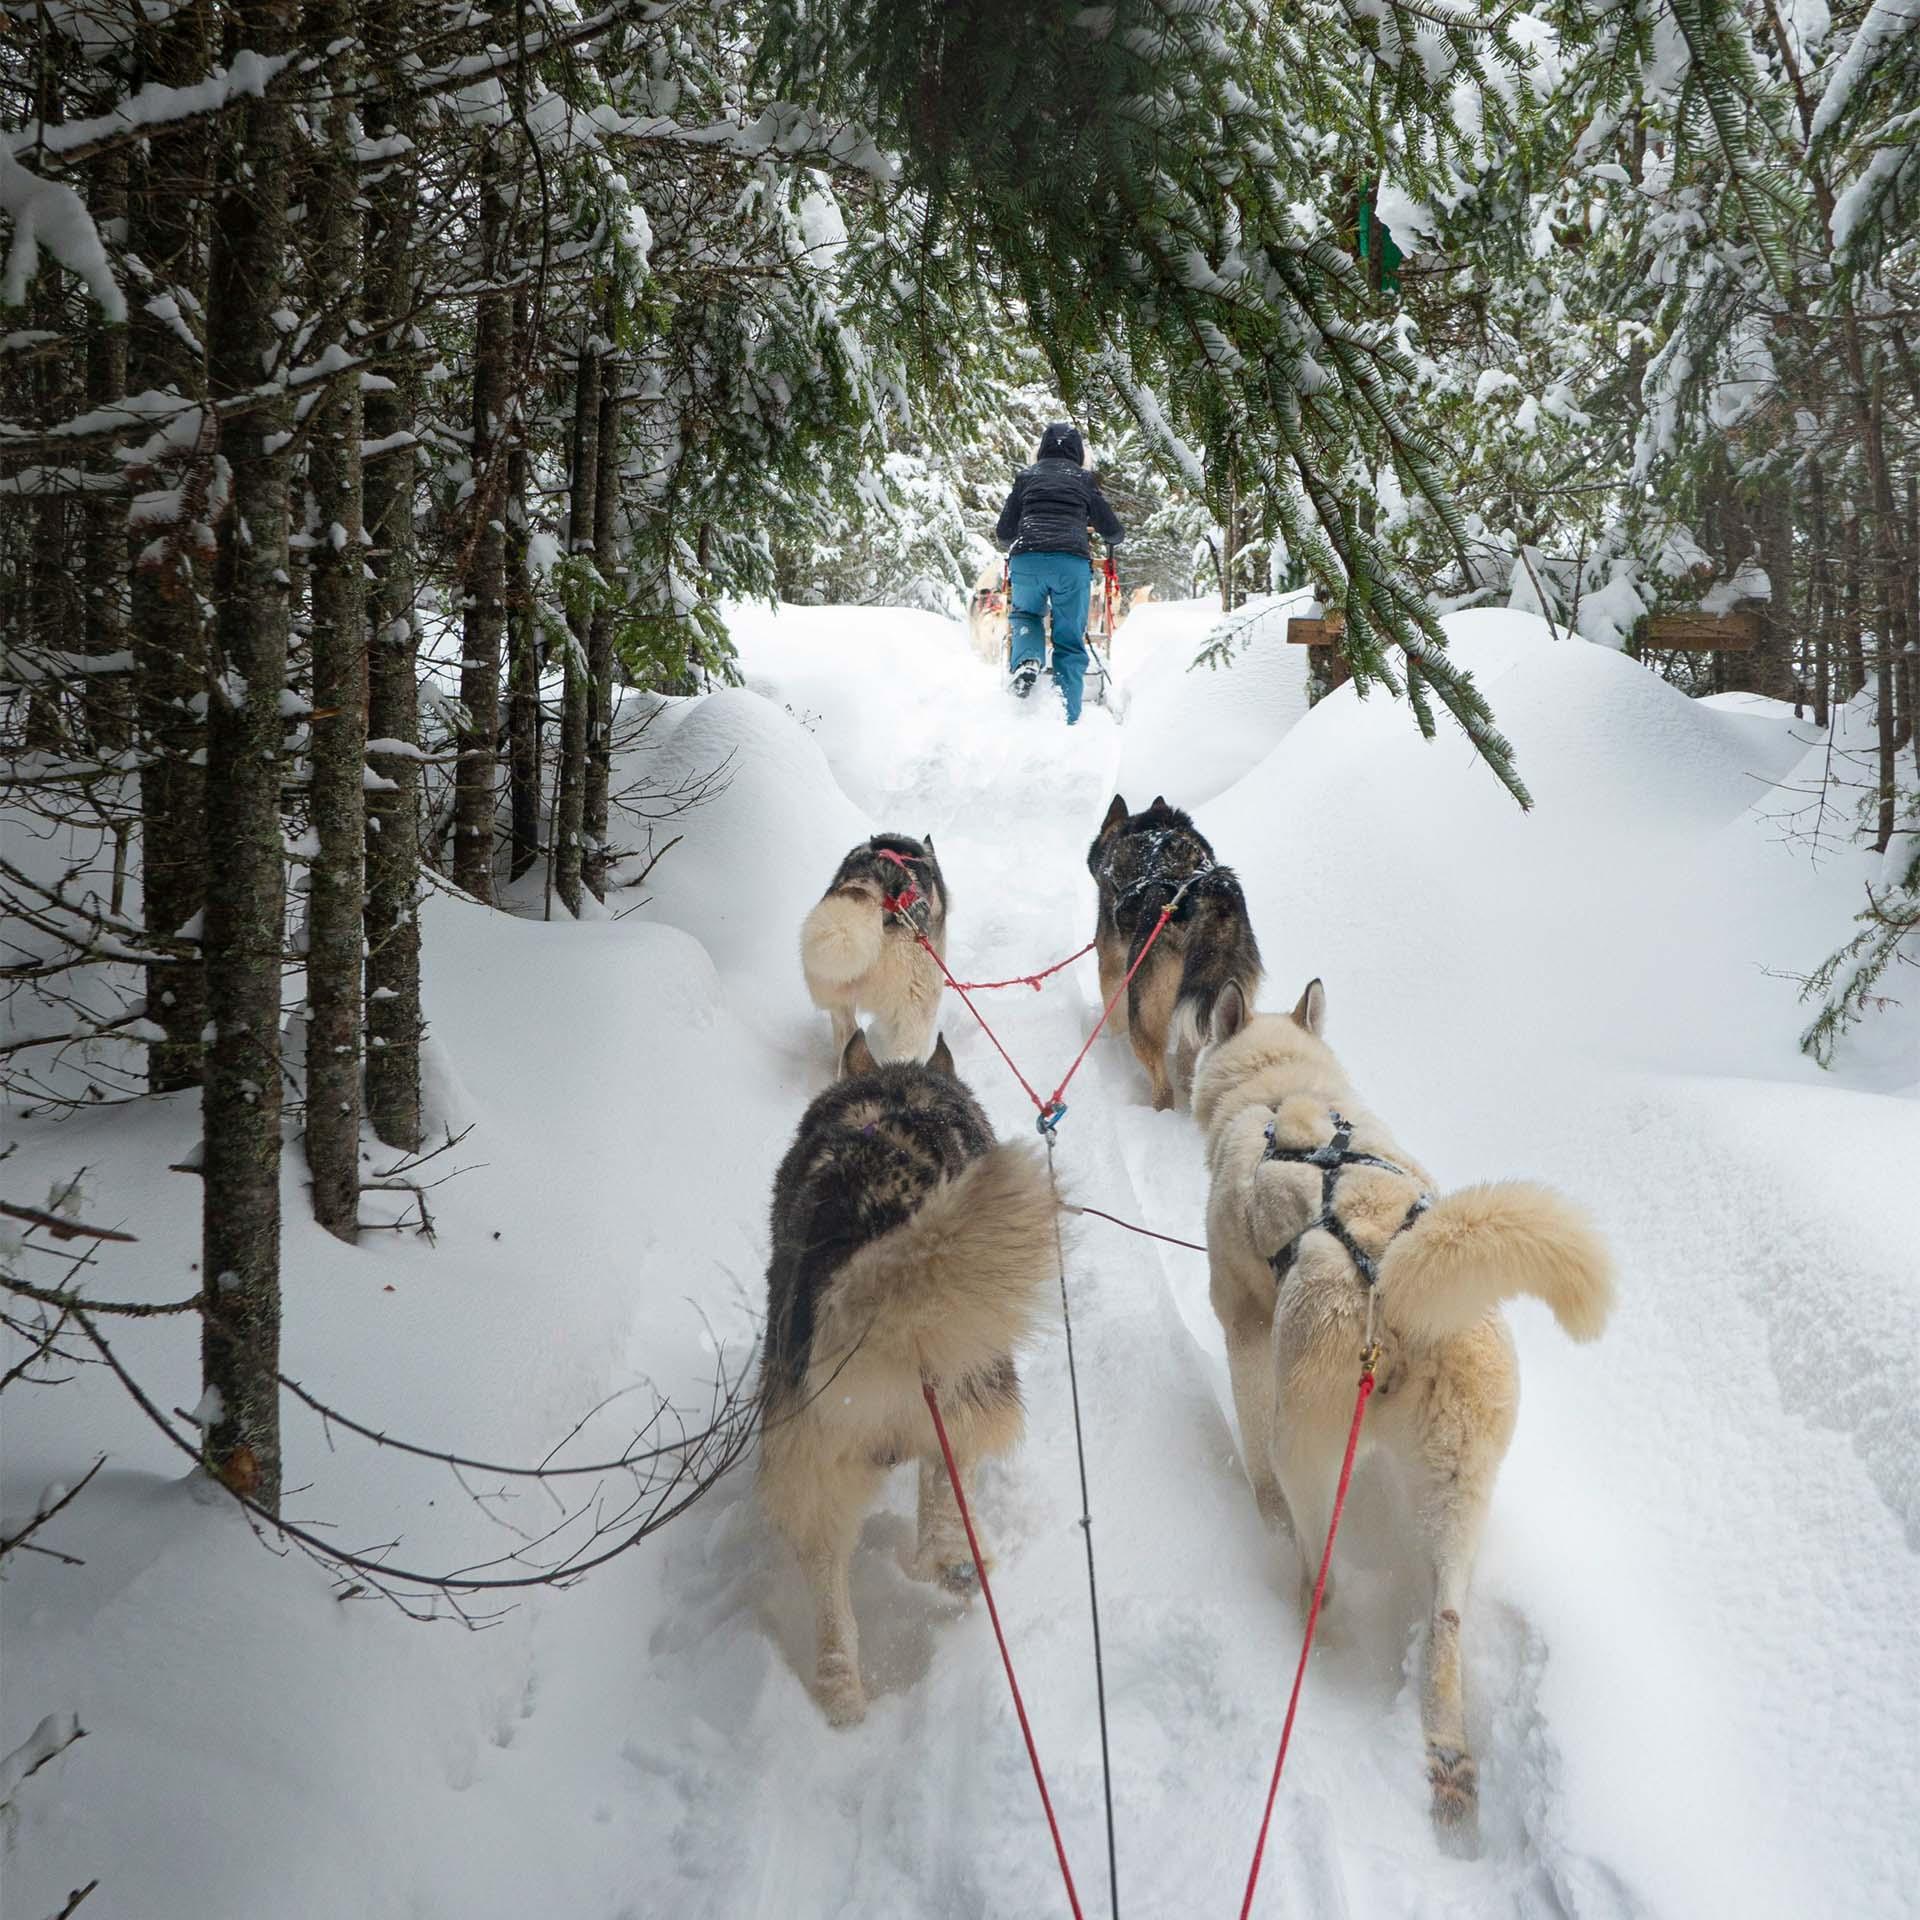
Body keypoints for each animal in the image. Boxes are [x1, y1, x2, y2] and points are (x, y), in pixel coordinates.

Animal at [752, 1036, 1059, 1728]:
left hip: (813, 1450)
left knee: (827, 1571)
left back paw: (840, 1690)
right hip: (973, 1383)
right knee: (946, 1484)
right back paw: (957, 1561)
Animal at [1090, 791, 1267, 1113]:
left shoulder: (1110, 964)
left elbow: (1114, 1011)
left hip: (1146, 1013)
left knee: (1163, 1085)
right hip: (1216, 1006)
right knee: (1188, 1069)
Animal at [1190, 983, 1612, 1835]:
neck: (1282, 1092)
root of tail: (1402, 1280)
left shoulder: (1243, 1329)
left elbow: (1252, 1455)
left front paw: (1260, 1513)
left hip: (1308, 1445)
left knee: (1318, 1562)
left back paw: (1312, 1635)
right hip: (1460, 1486)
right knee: (1447, 1621)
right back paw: (1448, 1759)